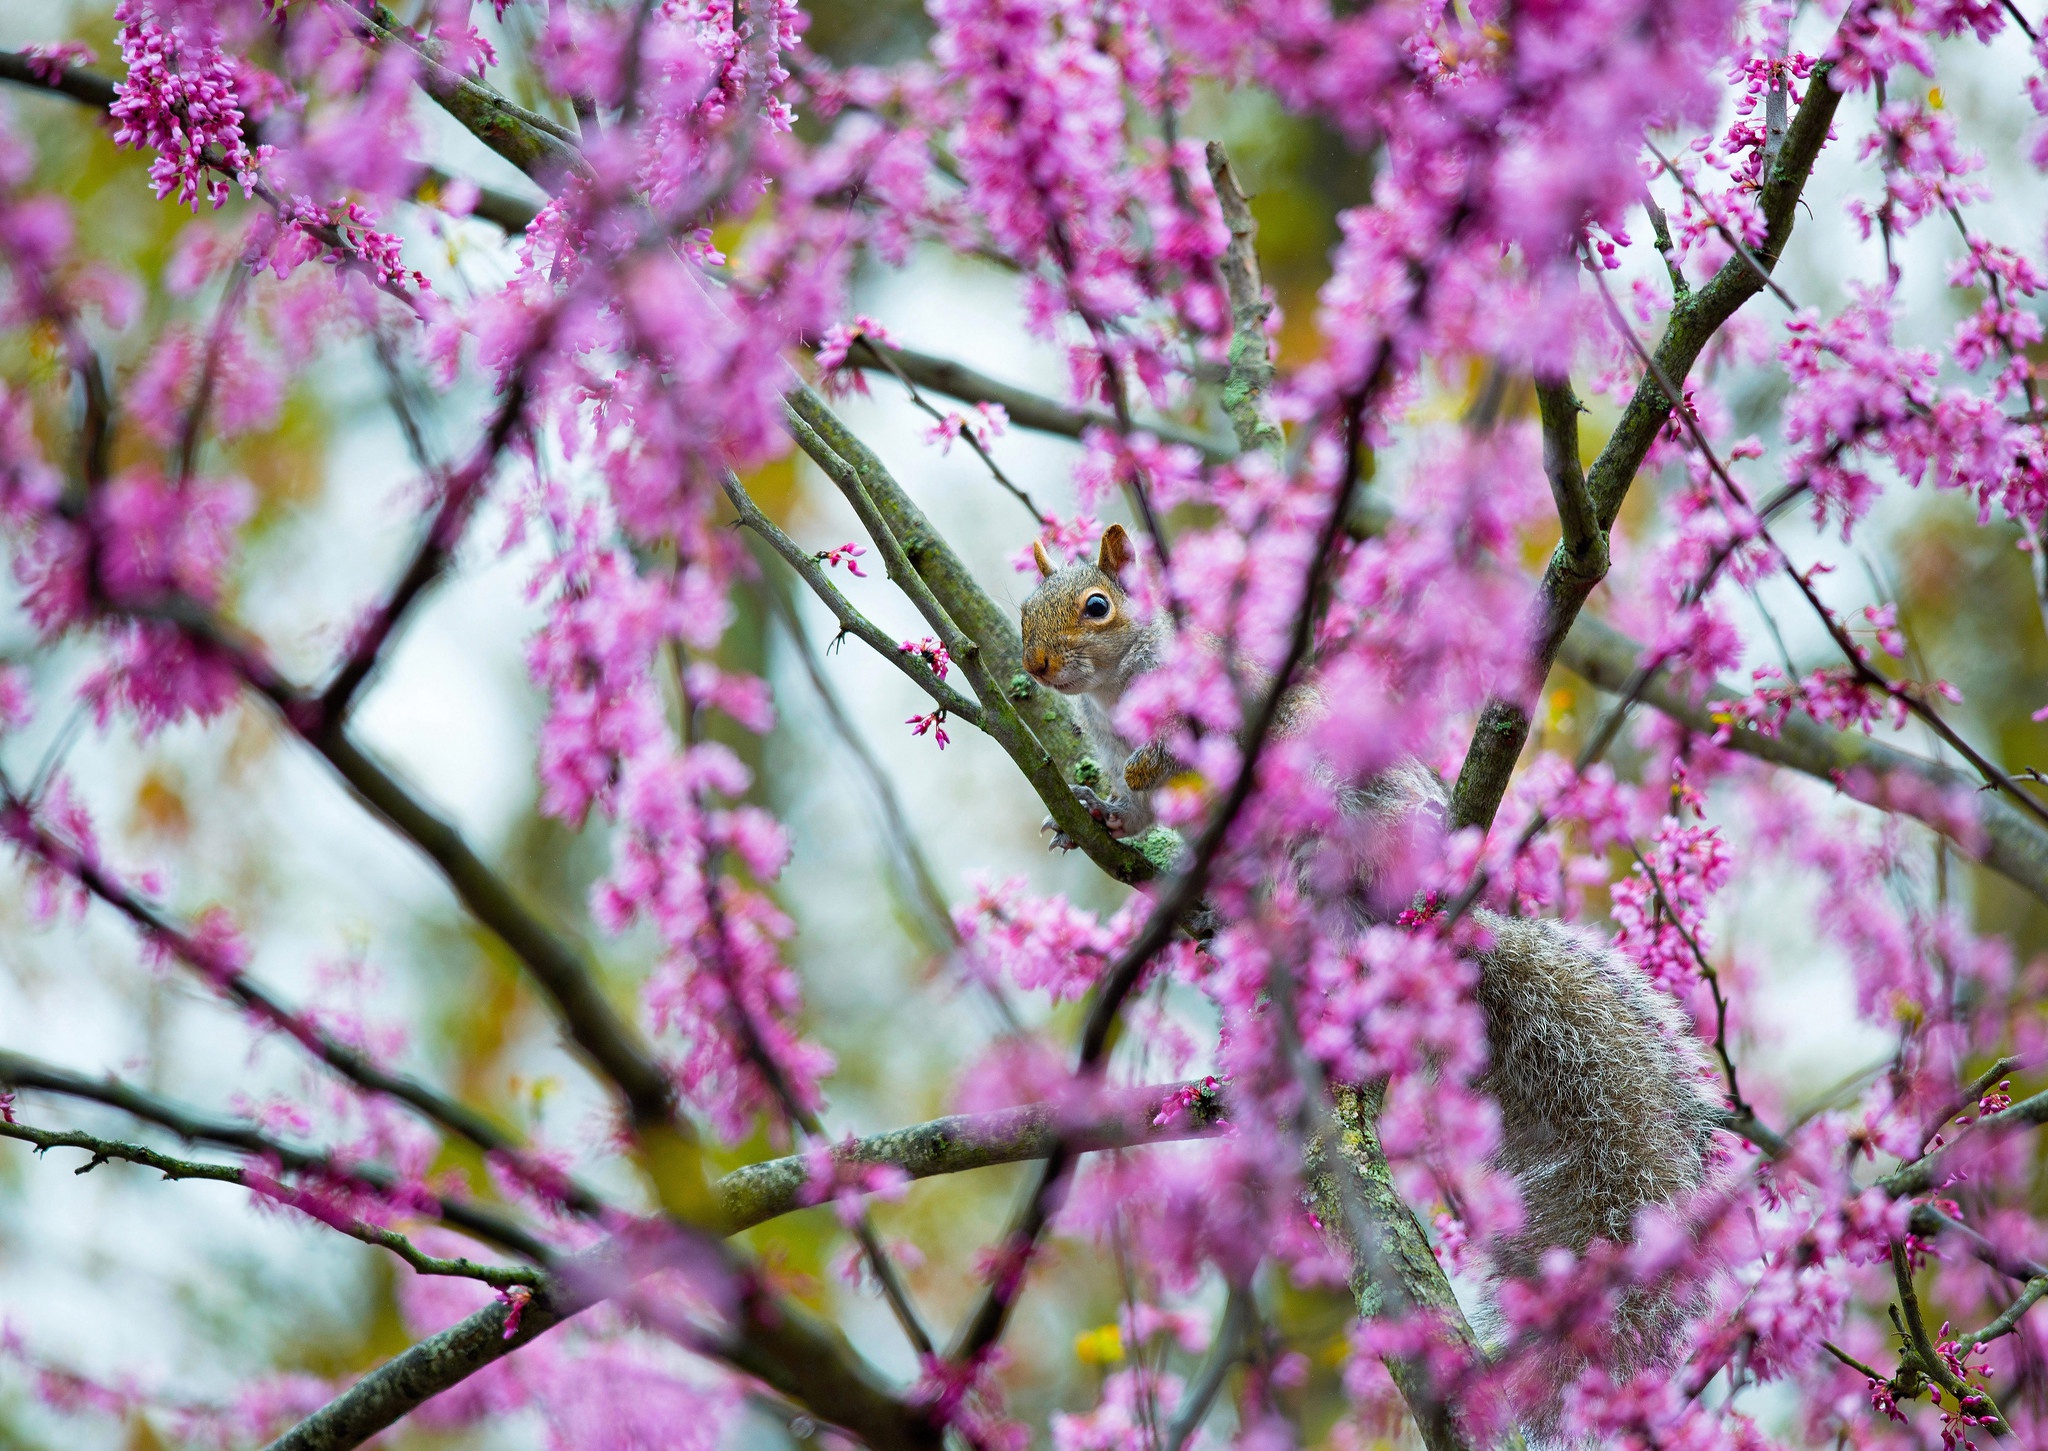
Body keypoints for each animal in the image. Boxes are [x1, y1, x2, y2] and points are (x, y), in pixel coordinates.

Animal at [1020, 524, 1720, 1385]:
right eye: (1025, 609)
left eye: (1097, 605)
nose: (1036, 665)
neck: (1117, 694)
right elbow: (1135, 807)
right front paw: (1094, 807)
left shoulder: (1230, 693)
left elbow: (1191, 744)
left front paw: (1148, 762)